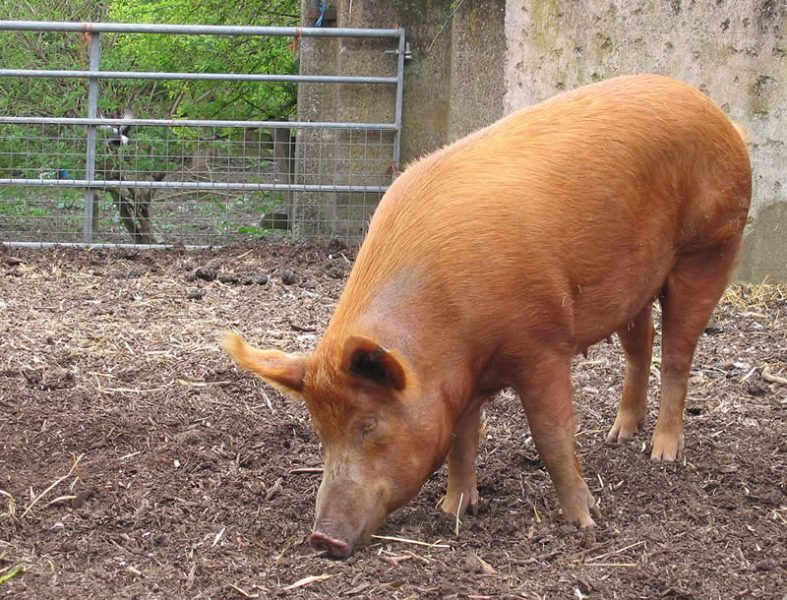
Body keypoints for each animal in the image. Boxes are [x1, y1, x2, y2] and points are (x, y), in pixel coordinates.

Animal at [224, 74, 751, 559]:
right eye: (320, 431)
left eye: (369, 425)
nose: (323, 538)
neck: (451, 337)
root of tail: (715, 111)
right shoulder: (461, 380)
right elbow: (462, 438)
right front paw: (453, 510)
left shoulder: (543, 344)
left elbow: (551, 436)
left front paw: (584, 522)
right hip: (635, 283)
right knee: (641, 344)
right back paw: (618, 435)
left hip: (711, 247)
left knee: (679, 352)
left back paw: (662, 455)